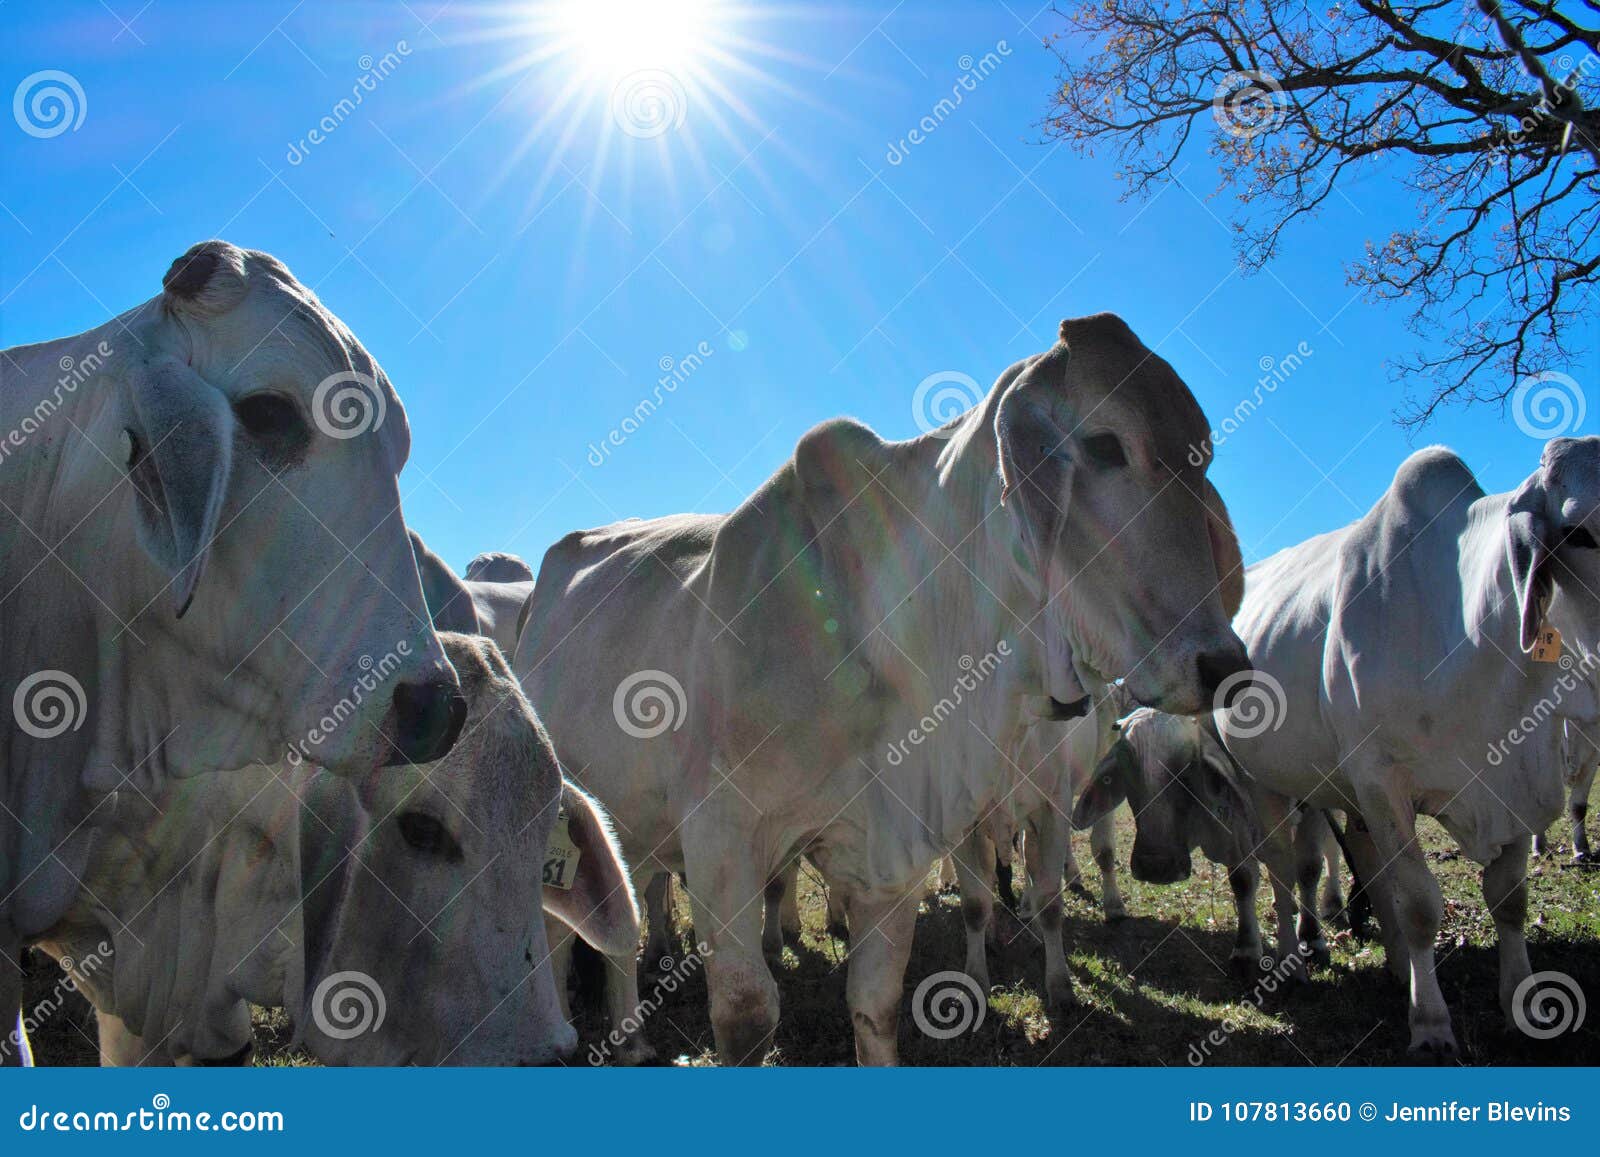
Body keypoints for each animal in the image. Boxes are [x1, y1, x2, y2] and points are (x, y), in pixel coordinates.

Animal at [516, 314, 1250, 1065]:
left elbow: (879, 1003)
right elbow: (747, 1016)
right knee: (571, 935)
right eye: (1107, 445)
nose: (1222, 663)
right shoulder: (722, 839)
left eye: (1202, 460)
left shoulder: (899, 853)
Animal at [1214, 440, 1600, 1058]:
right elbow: (1420, 904)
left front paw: (1518, 1001)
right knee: (1281, 871)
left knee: (1368, 867)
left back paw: (1397, 967)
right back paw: (1291, 961)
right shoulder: (1383, 782)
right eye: (1580, 533)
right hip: (1265, 784)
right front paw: (1432, 1024)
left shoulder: (1517, 782)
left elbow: (1508, 899)